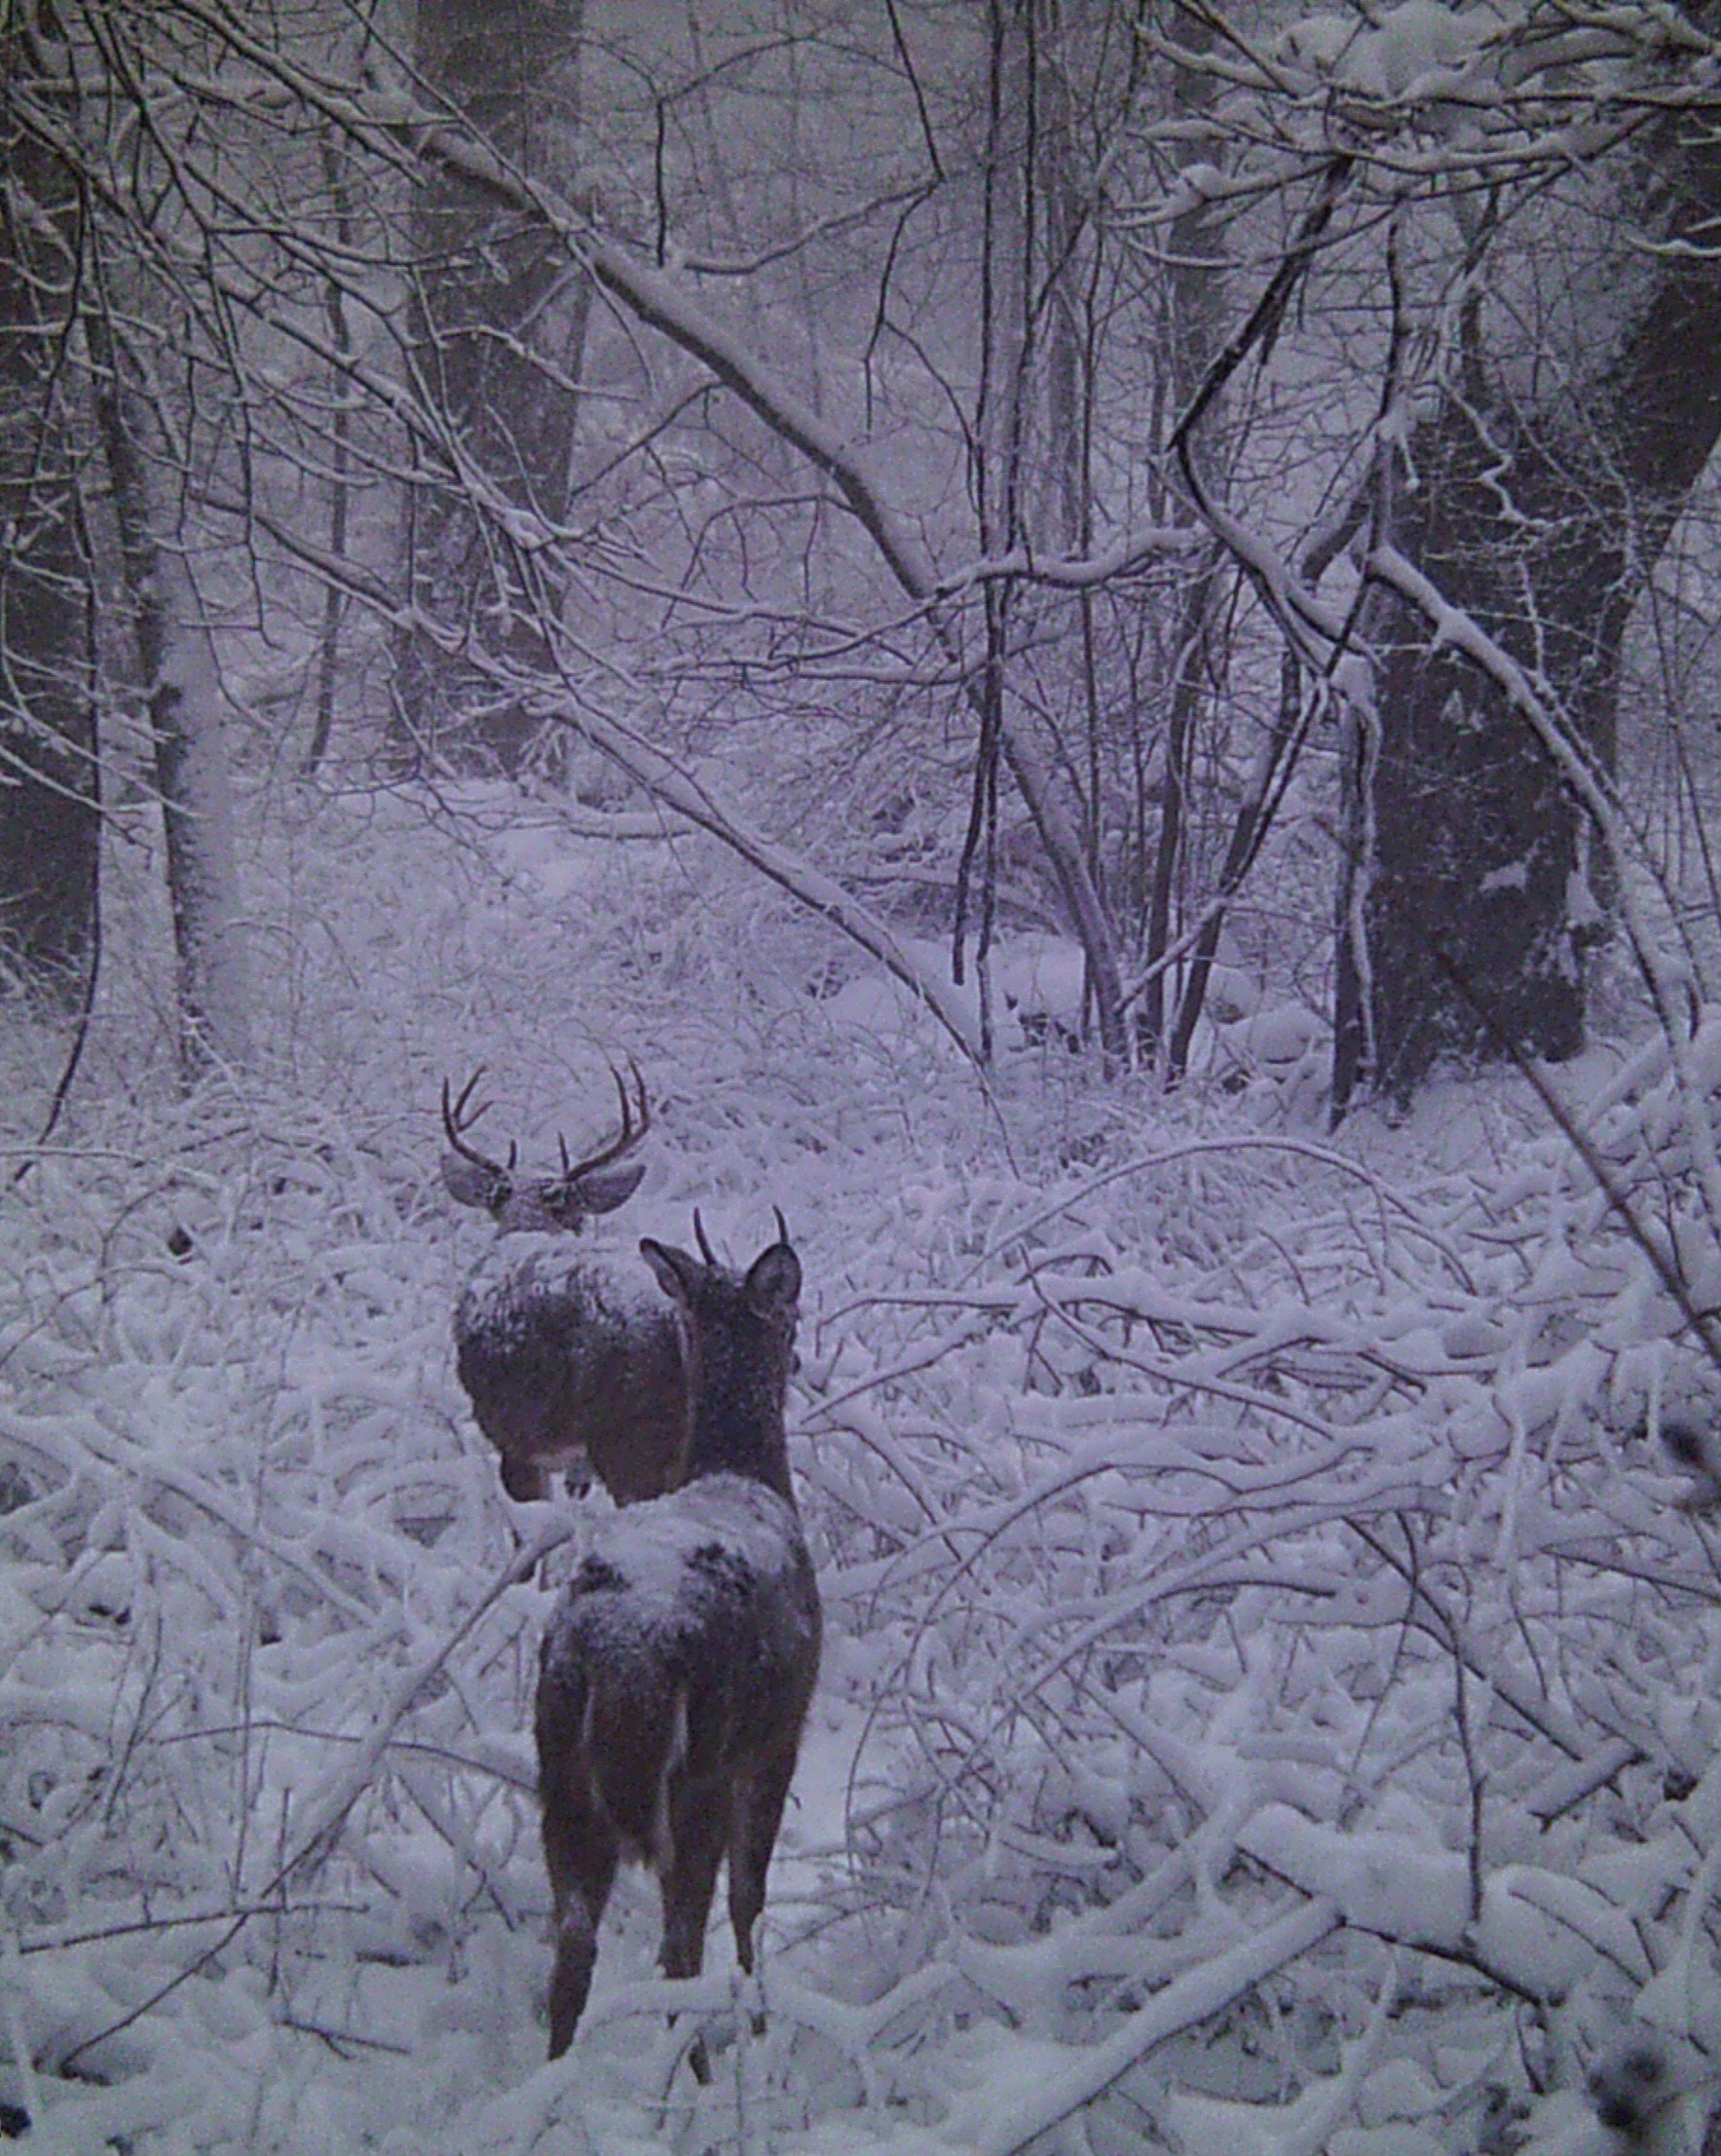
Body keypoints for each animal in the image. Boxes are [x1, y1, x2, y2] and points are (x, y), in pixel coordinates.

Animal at [533, 1216, 820, 2073]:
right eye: (789, 1311)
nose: (799, 1357)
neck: (744, 1473)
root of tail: (622, 1658)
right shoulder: (778, 1736)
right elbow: (749, 1896)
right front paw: (757, 2016)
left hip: (560, 1773)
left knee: (572, 1948)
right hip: (697, 1771)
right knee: (680, 1943)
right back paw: (690, 2070)